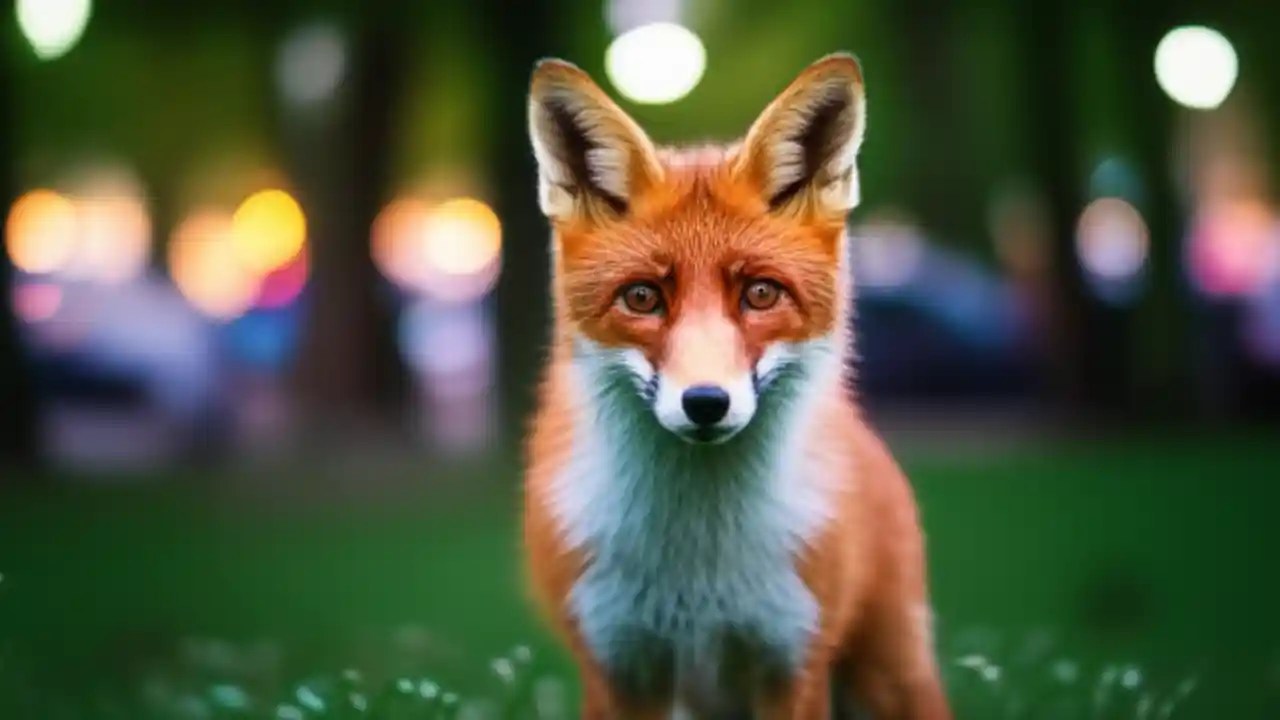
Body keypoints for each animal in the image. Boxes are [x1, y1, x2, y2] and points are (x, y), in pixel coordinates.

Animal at [521, 53, 951, 720]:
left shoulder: (793, 661)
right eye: (642, 297)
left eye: (761, 293)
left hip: (890, 677)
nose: (705, 403)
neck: (698, 561)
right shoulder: (618, 668)